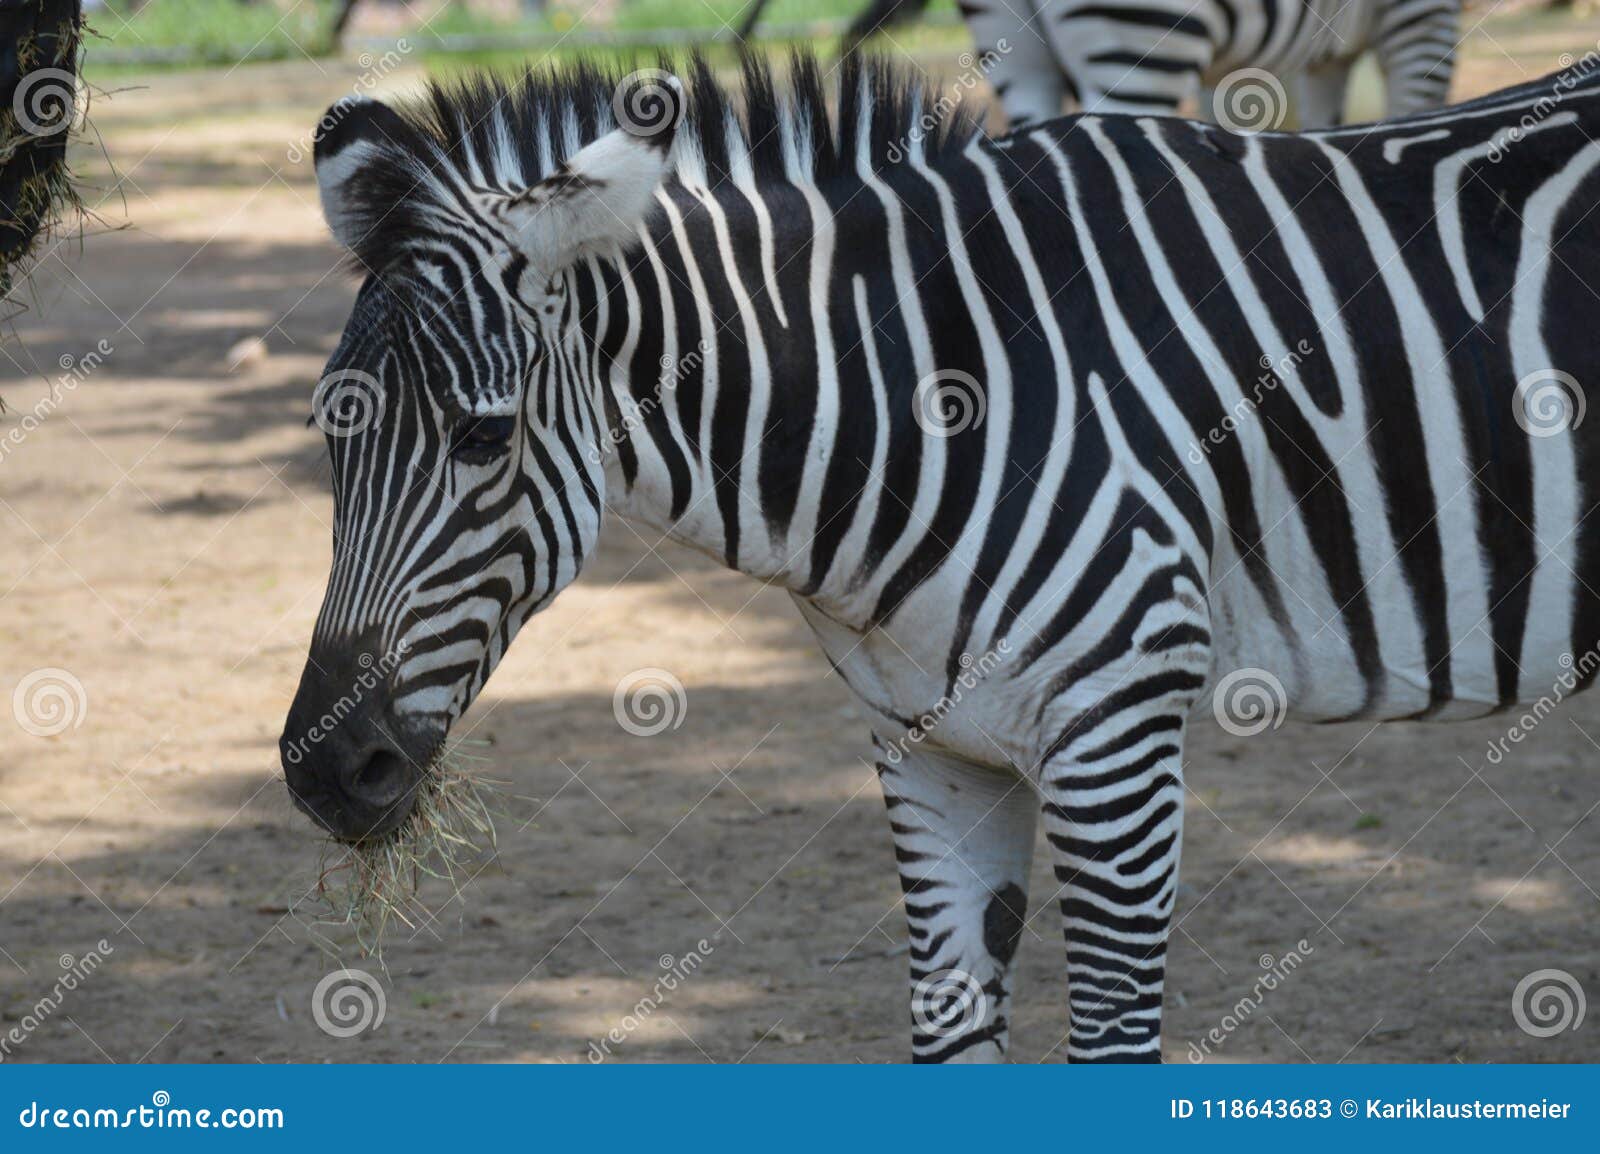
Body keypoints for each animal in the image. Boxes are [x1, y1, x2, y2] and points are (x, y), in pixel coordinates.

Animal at [281, 54, 1600, 1061]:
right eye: (327, 434)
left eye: (482, 435)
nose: (325, 769)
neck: (934, 397)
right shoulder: (932, 748)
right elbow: (949, 1036)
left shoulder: (1116, 736)